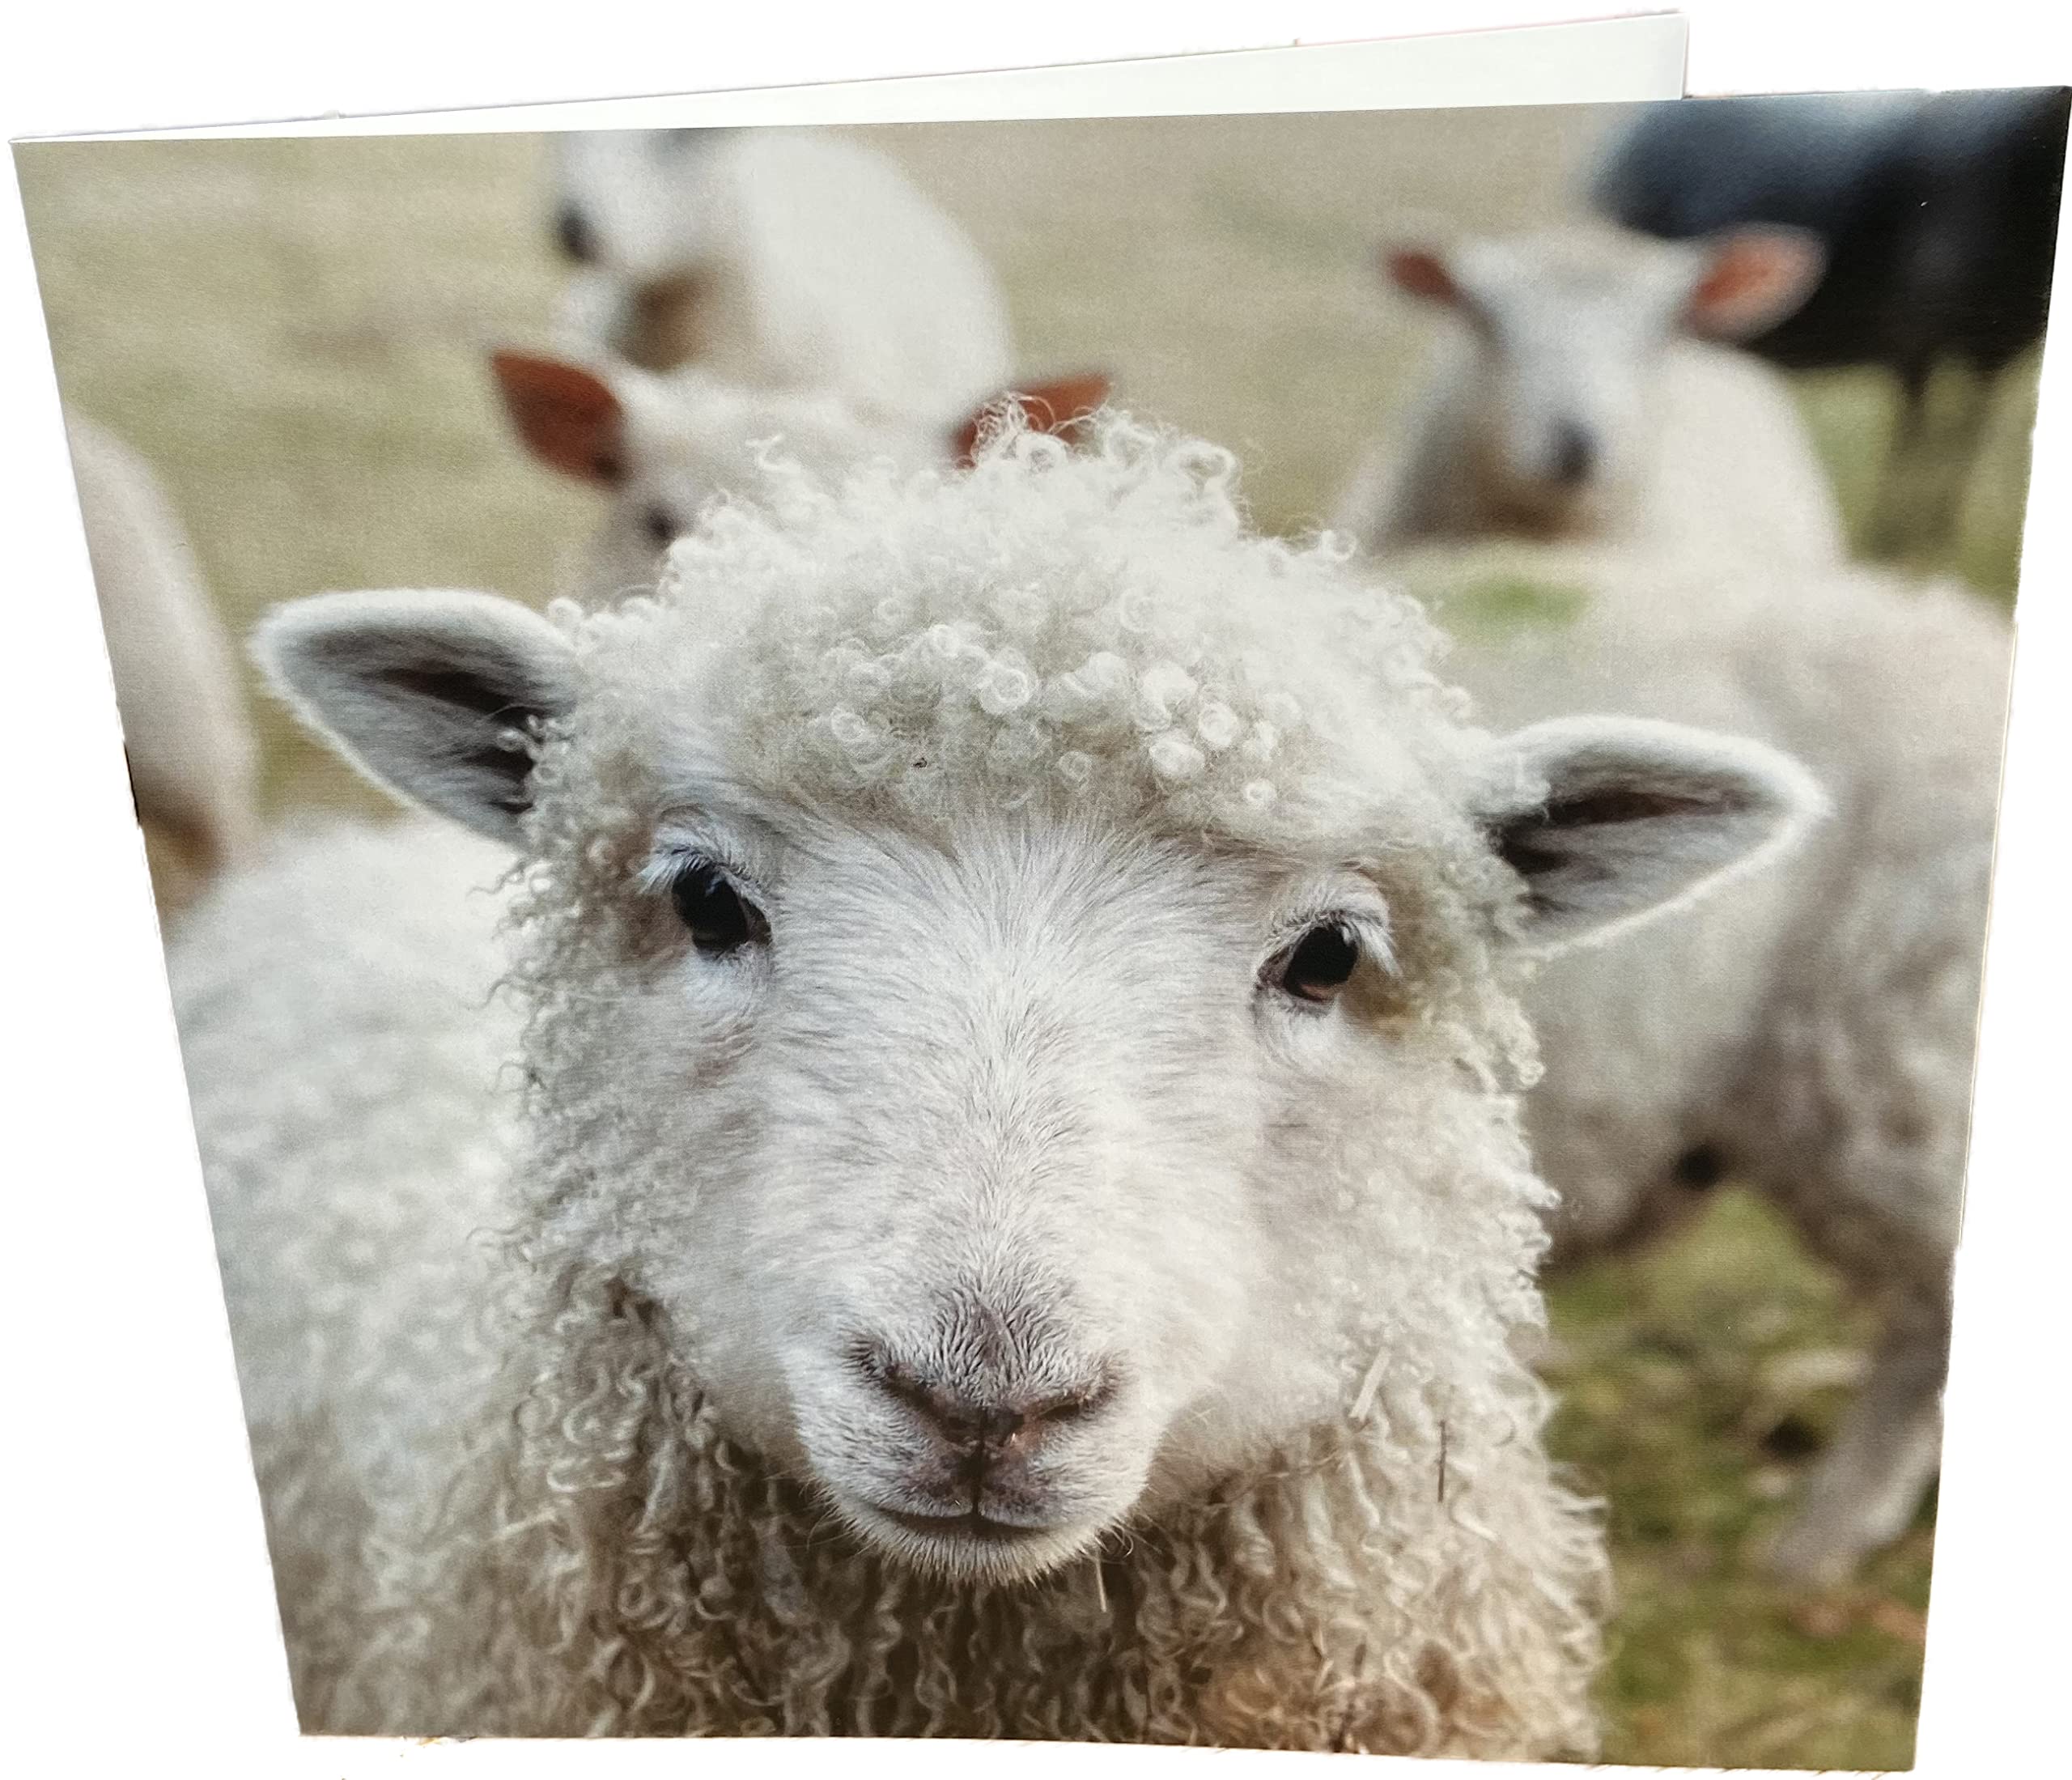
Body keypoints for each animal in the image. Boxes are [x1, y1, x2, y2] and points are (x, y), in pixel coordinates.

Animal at [1590, 89, 2072, 563]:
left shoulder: (1996, 350)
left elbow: (1962, 441)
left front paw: (1933, 540)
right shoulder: (1915, 333)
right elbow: (1913, 440)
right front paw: (1891, 541)